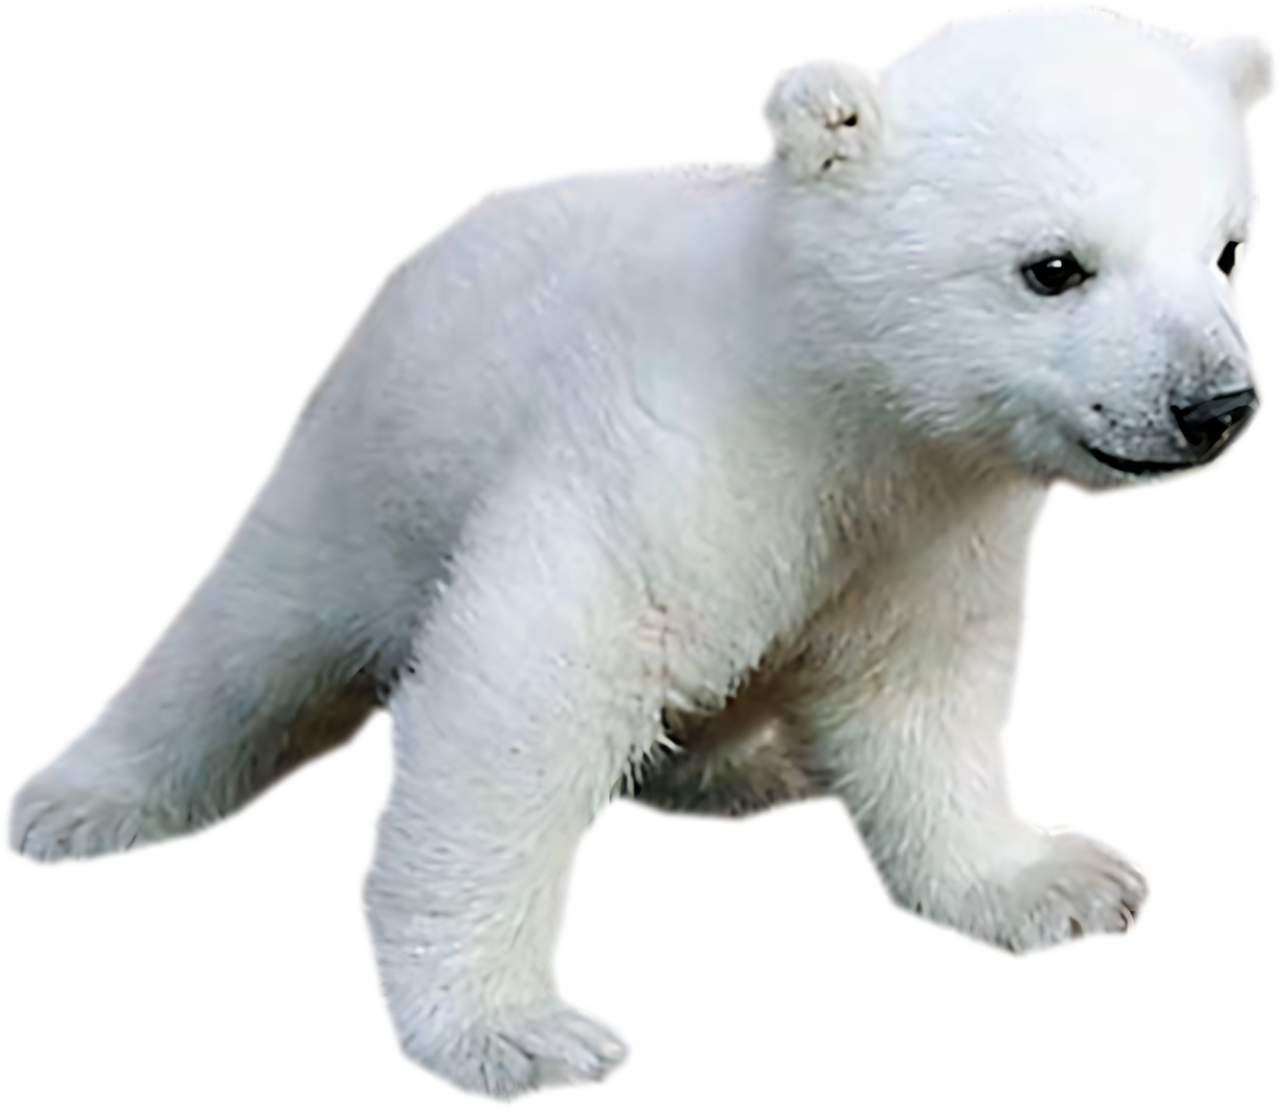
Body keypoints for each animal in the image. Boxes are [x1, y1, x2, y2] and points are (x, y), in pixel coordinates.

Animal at [4, 5, 1275, 1104]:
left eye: (1224, 249)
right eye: (1052, 266)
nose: (1215, 406)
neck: (826, 387)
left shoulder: (927, 518)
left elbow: (921, 690)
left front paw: (1052, 879)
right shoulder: (674, 451)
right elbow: (532, 683)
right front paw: (518, 1031)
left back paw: (748, 769)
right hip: (364, 457)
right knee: (243, 639)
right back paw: (77, 802)